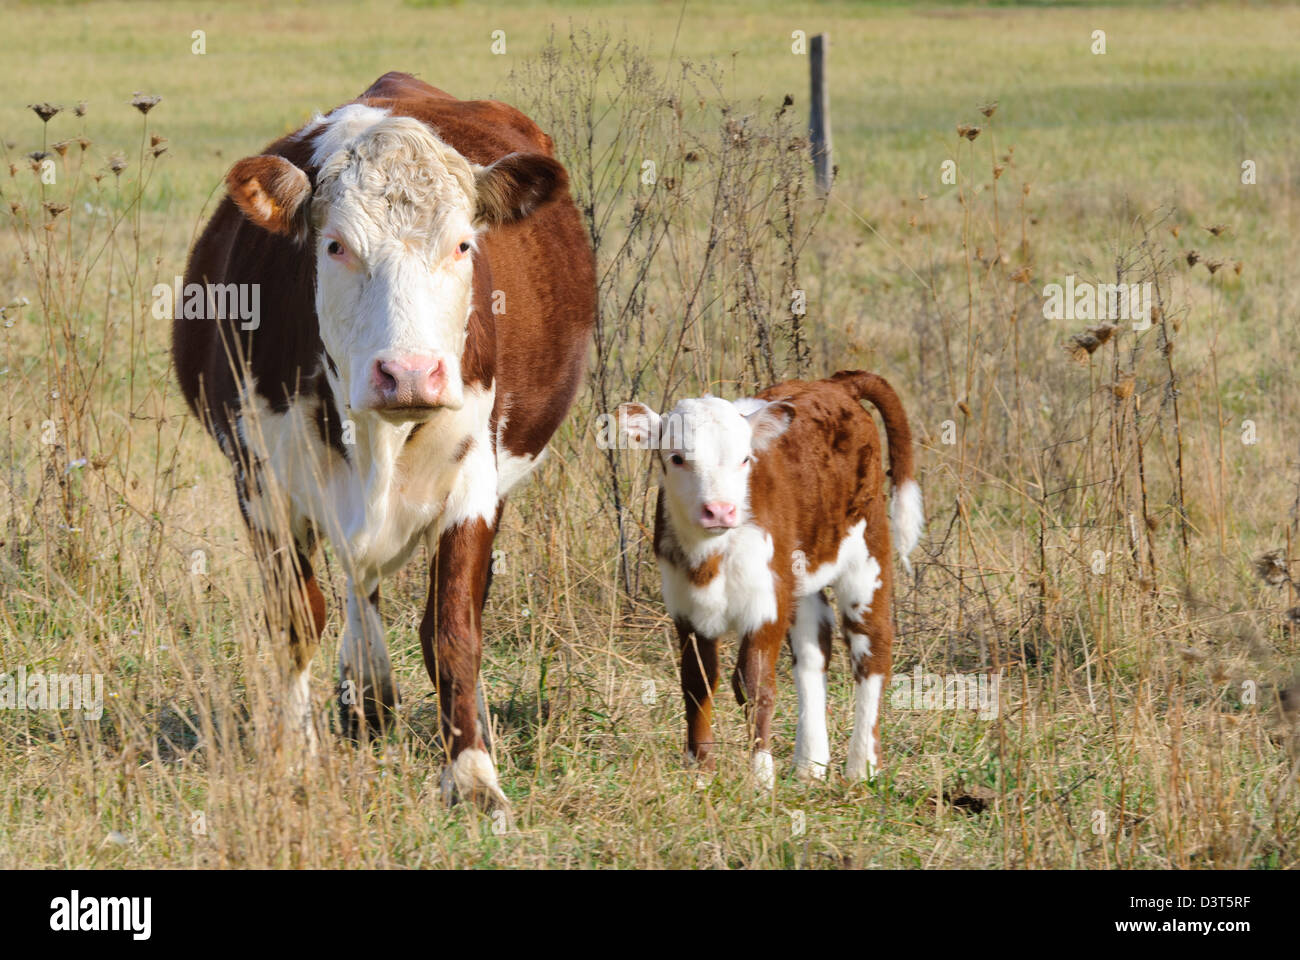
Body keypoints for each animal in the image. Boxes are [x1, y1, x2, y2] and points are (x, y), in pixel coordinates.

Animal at [173, 72, 596, 807]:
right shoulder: (259, 478)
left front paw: (473, 773)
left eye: (463, 245)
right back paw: (366, 695)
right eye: (336, 246)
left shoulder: (474, 480)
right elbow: (296, 617)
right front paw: (294, 756)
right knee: (357, 581)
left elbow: (453, 629)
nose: (408, 374)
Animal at [618, 371, 922, 787]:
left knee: (871, 648)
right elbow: (697, 682)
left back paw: (863, 766)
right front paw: (701, 771)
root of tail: (835, 383)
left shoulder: (766, 603)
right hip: (801, 573)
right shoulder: (685, 606)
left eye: (745, 458)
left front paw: (761, 775)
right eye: (677, 458)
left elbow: (755, 683)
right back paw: (811, 763)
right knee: (813, 649)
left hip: (867, 547)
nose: (720, 510)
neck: (711, 559)